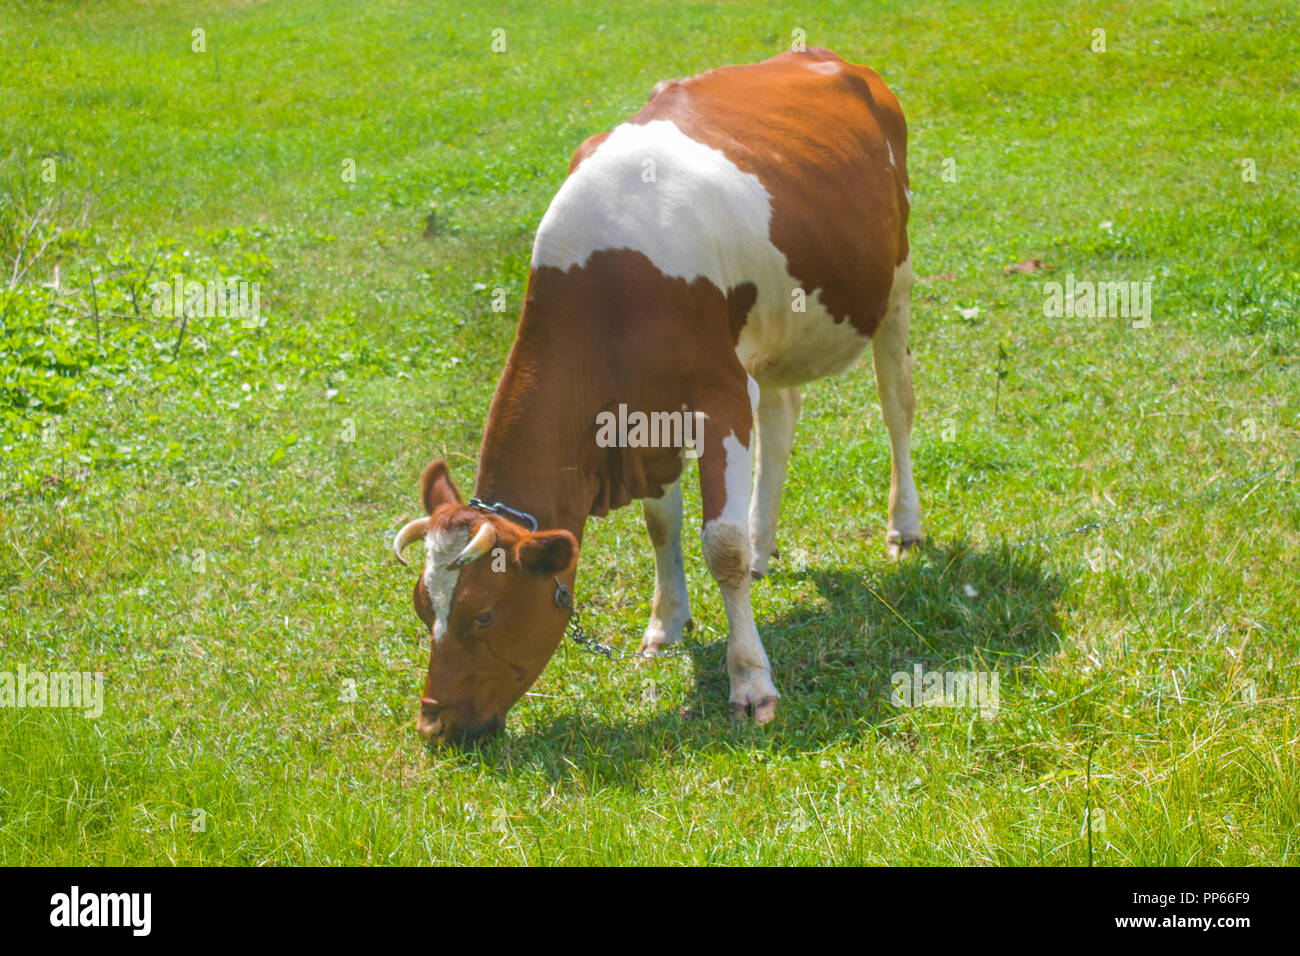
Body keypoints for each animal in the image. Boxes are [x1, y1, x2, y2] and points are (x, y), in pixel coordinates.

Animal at [393, 47, 921, 745]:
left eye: (484, 614)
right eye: (424, 607)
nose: (433, 723)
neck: (609, 286)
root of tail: (821, 56)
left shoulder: (720, 397)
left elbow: (721, 545)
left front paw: (750, 681)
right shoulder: (645, 423)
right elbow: (660, 525)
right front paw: (666, 626)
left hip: (895, 281)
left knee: (896, 404)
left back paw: (904, 525)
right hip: (774, 335)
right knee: (782, 419)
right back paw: (767, 543)